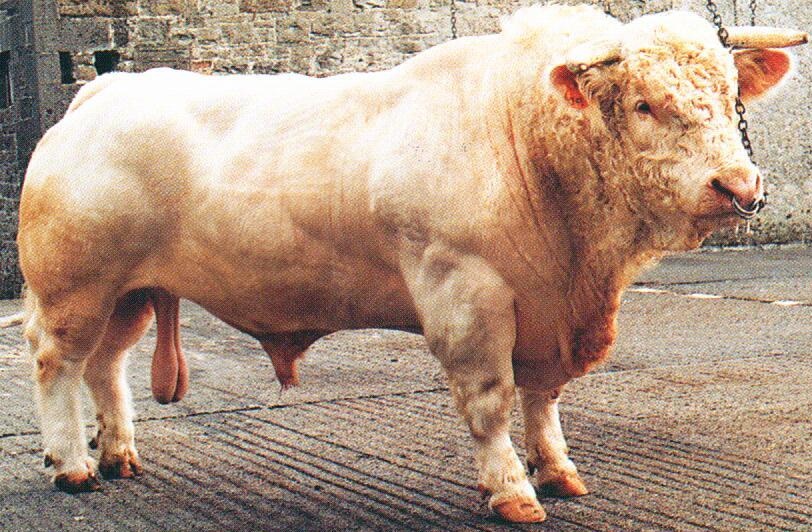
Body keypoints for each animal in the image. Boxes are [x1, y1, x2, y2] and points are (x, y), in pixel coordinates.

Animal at [15, 4, 806, 523]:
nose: (739, 187)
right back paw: (72, 464)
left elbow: (543, 395)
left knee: (105, 366)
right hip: (73, 286)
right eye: (645, 103)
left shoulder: (547, 308)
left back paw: (117, 453)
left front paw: (556, 469)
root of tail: (105, 88)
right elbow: (490, 398)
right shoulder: (466, 292)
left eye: (730, 96)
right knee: (57, 363)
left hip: (129, 291)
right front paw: (512, 490)